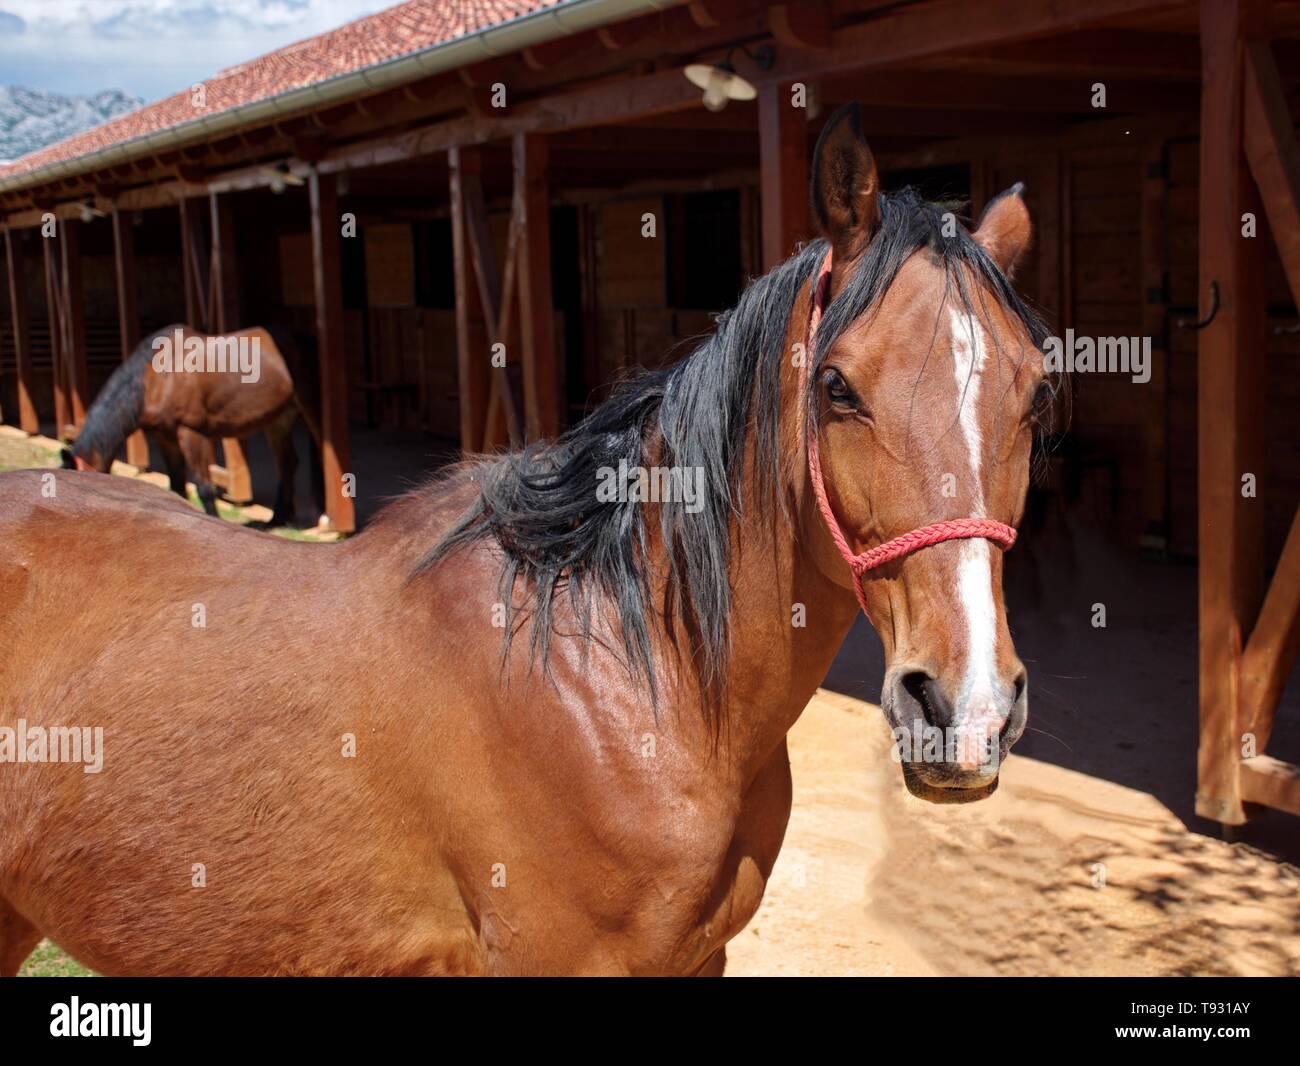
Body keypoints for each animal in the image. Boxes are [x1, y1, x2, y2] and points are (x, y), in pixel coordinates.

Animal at [60, 324, 323, 527]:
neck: (156, 380)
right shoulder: (164, 437)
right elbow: (177, 486)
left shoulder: (191, 433)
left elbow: (204, 486)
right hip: (278, 418)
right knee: (287, 463)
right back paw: (278, 519)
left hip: (309, 407)